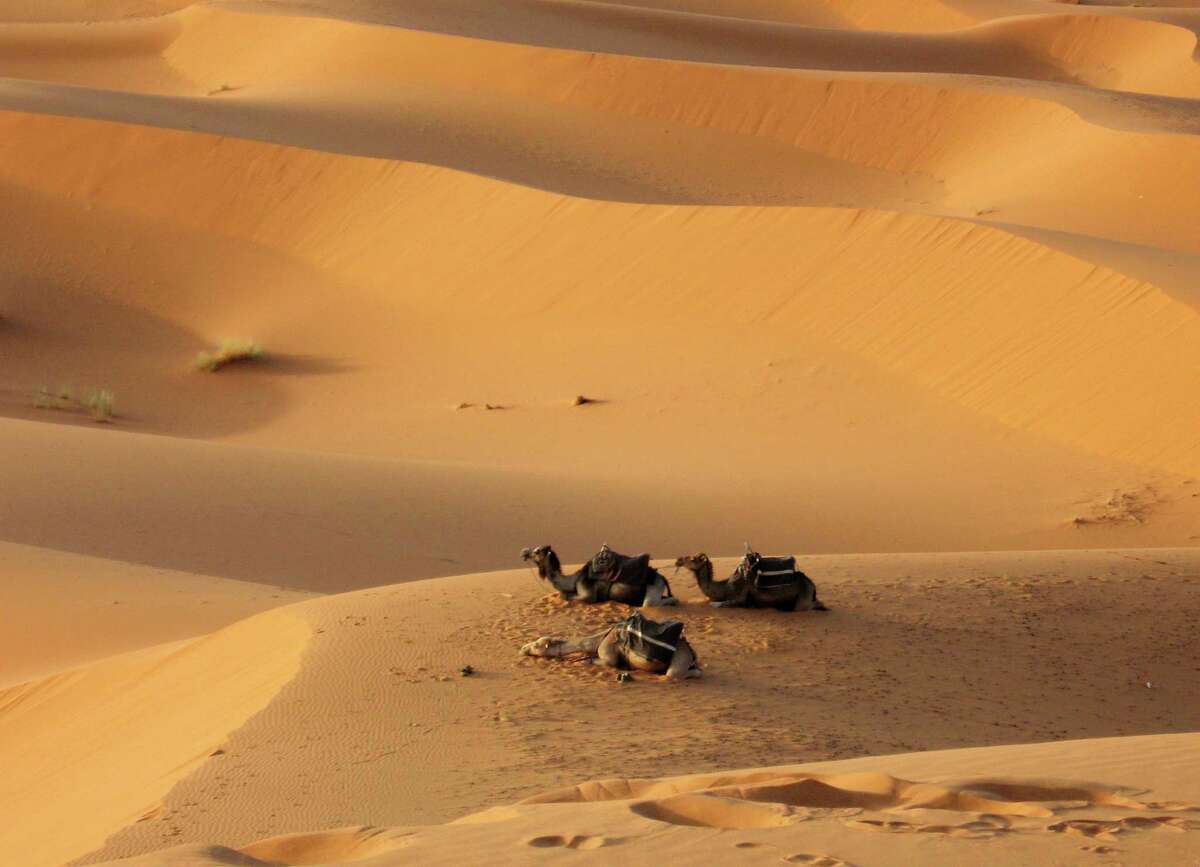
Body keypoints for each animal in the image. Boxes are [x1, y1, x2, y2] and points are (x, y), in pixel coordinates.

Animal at [520, 544, 677, 606]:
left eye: (537, 551)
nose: (523, 552)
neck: (573, 580)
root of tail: (662, 577)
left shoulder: (588, 593)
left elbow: (567, 596)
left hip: (654, 586)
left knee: (654, 602)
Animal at [520, 611, 701, 679]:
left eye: (537, 644)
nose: (523, 649)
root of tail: (691, 651)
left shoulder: (607, 651)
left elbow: (609, 662)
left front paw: (587, 661)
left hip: (680, 657)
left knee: (674, 673)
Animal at [674, 547, 828, 612]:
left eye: (693, 559)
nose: (678, 560)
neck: (724, 587)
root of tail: (811, 585)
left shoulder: (738, 598)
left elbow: (716, 604)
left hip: (802, 601)